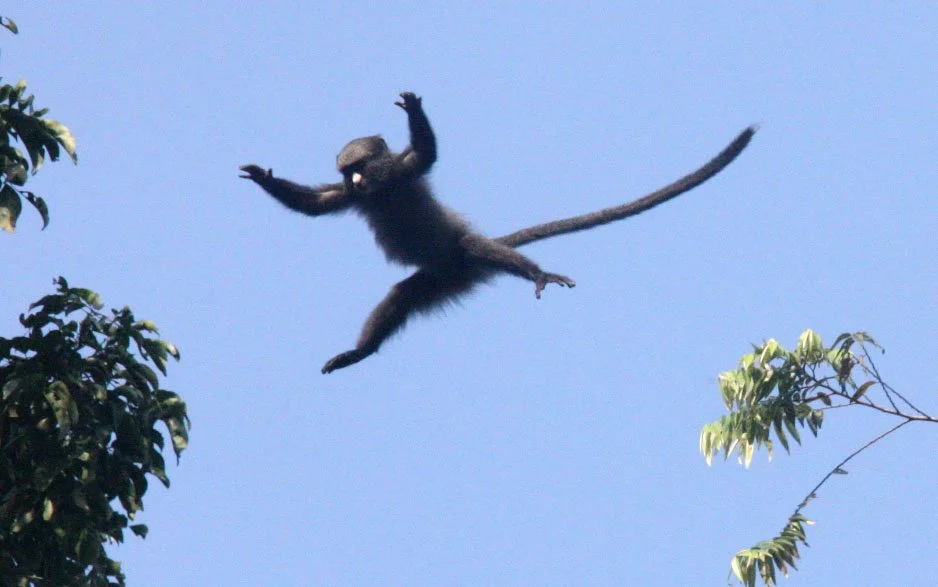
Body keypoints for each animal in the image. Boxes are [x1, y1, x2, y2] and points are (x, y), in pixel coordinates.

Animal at [240, 92, 755, 374]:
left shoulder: (403, 173)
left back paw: (537, 273)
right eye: (348, 172)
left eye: (363, 163)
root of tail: (452, 269)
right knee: (400, 299)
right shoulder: (351, 197)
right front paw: (264, 178)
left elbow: (426, 154)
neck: (381, 191)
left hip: (461, 258)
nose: (358, 179)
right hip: (436, 281)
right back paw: (360, 352)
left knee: (476, 246)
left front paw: (413, 109)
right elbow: (314, 205)